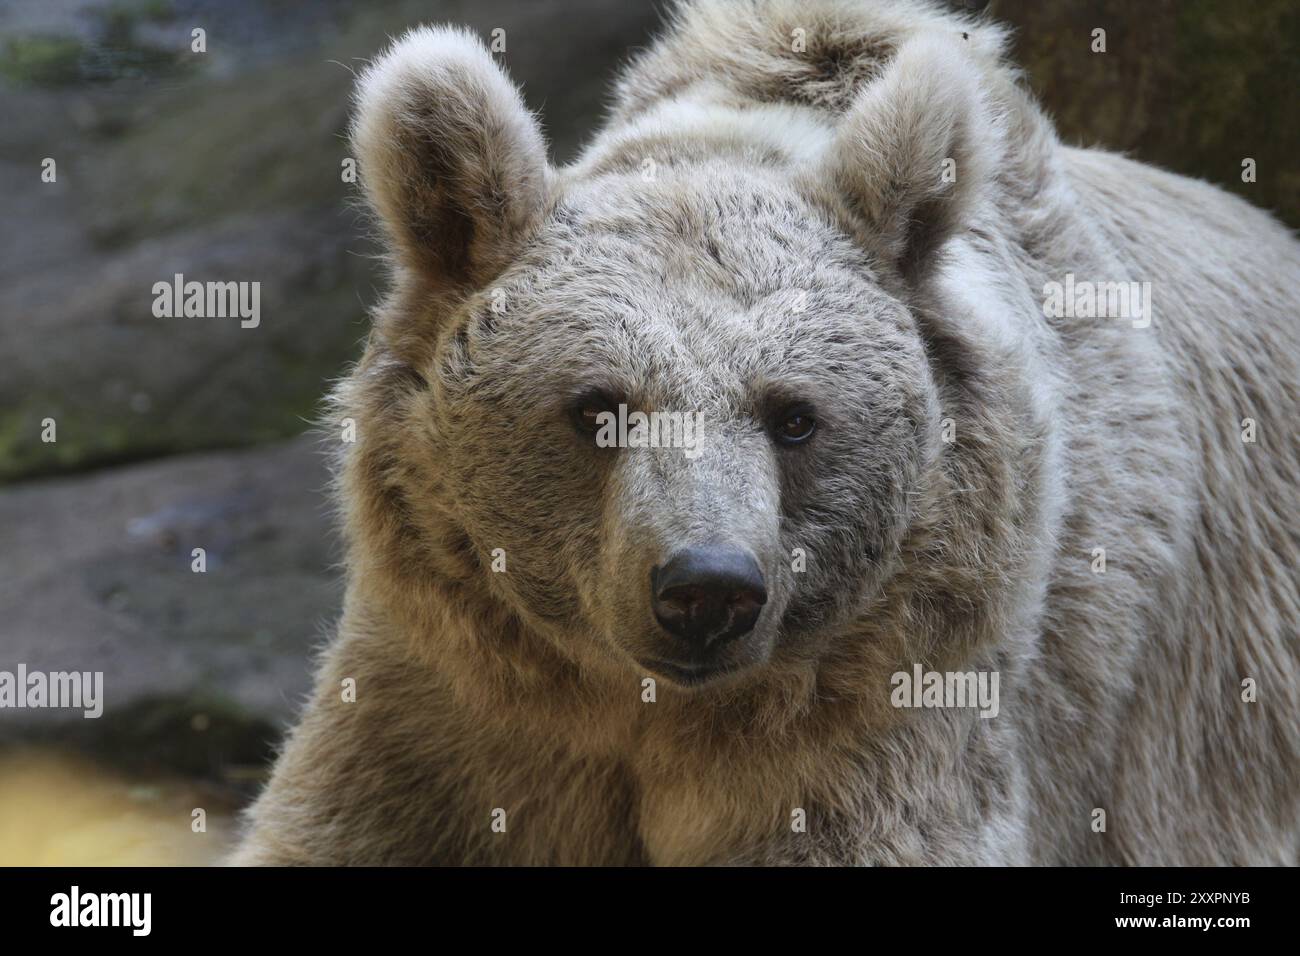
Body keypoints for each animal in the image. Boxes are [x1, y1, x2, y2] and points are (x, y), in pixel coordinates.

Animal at [231, 0, 1300, 865]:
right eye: (596, 406)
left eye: (794, 416)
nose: (705, 589)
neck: (642, 710)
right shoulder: (448, 694)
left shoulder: (892, 699)